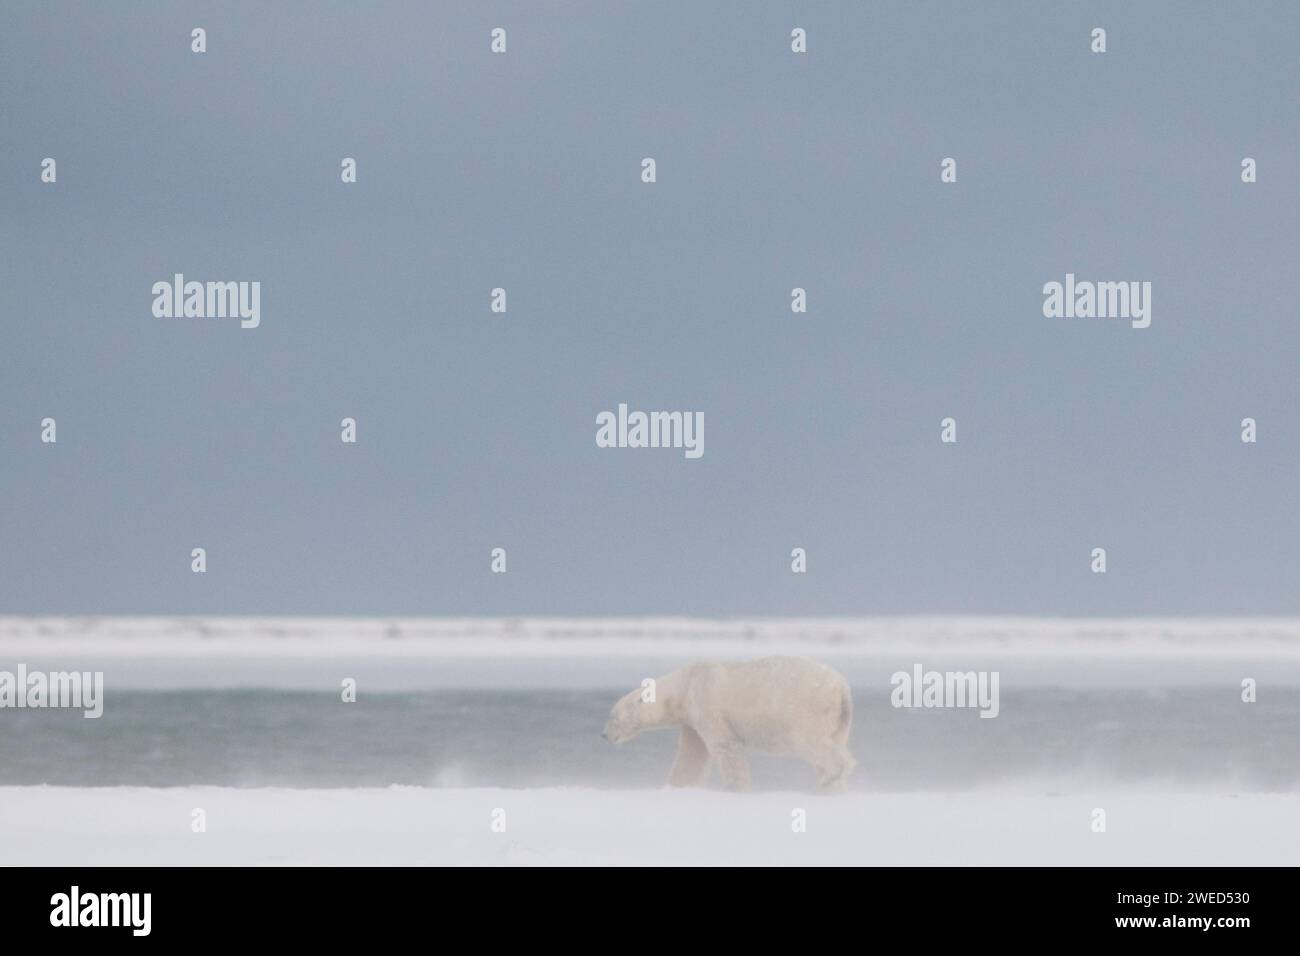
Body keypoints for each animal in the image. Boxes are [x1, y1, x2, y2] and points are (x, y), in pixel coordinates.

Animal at [602, 656, 856, 792]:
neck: (686, 684)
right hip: (839, 720)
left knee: (811, 742)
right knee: (833, 742)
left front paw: (733, 787)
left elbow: (725, 747)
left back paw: (833, 775)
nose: (603, 734)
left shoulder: (707, 705)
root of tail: (842, 688)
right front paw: (675, 786)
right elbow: (692, 755)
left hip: (805, 710)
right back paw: (831, 787)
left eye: (613, 716)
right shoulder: (692, 721)